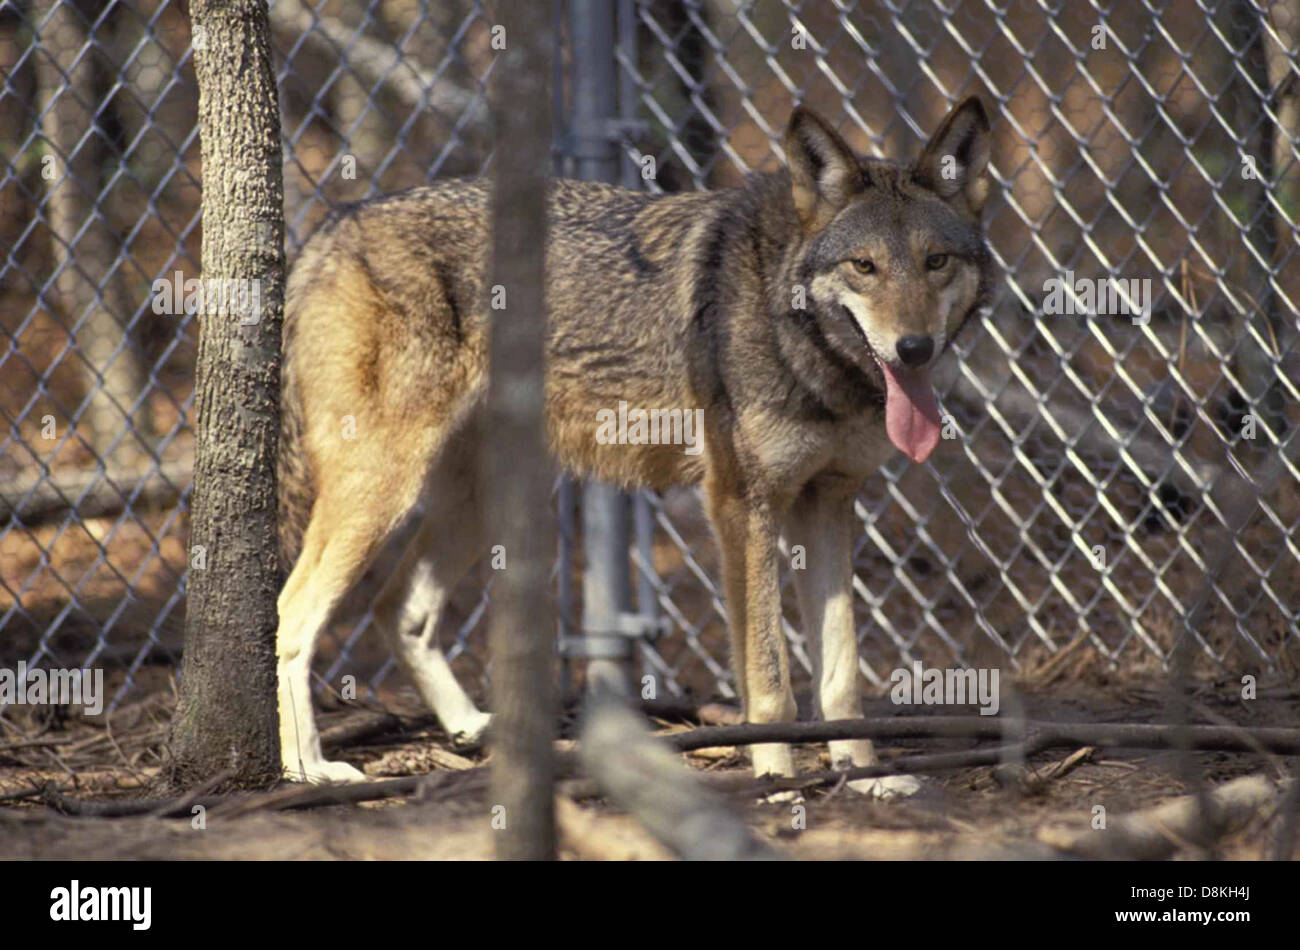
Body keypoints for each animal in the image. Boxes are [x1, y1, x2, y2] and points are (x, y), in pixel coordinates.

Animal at [275, 98, 996, 795]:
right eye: (864, 266)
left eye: (935, 262)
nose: (914, 348)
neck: (800, 338)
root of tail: (335, 224)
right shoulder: (741, 506)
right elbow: (768, 678)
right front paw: (776, 780)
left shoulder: (829, 501)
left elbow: (841, 673)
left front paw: (866, 773)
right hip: (383, 490)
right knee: (294, 613)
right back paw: (307, 770)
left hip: (477, 498)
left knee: (399, 609)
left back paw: (475, 733)